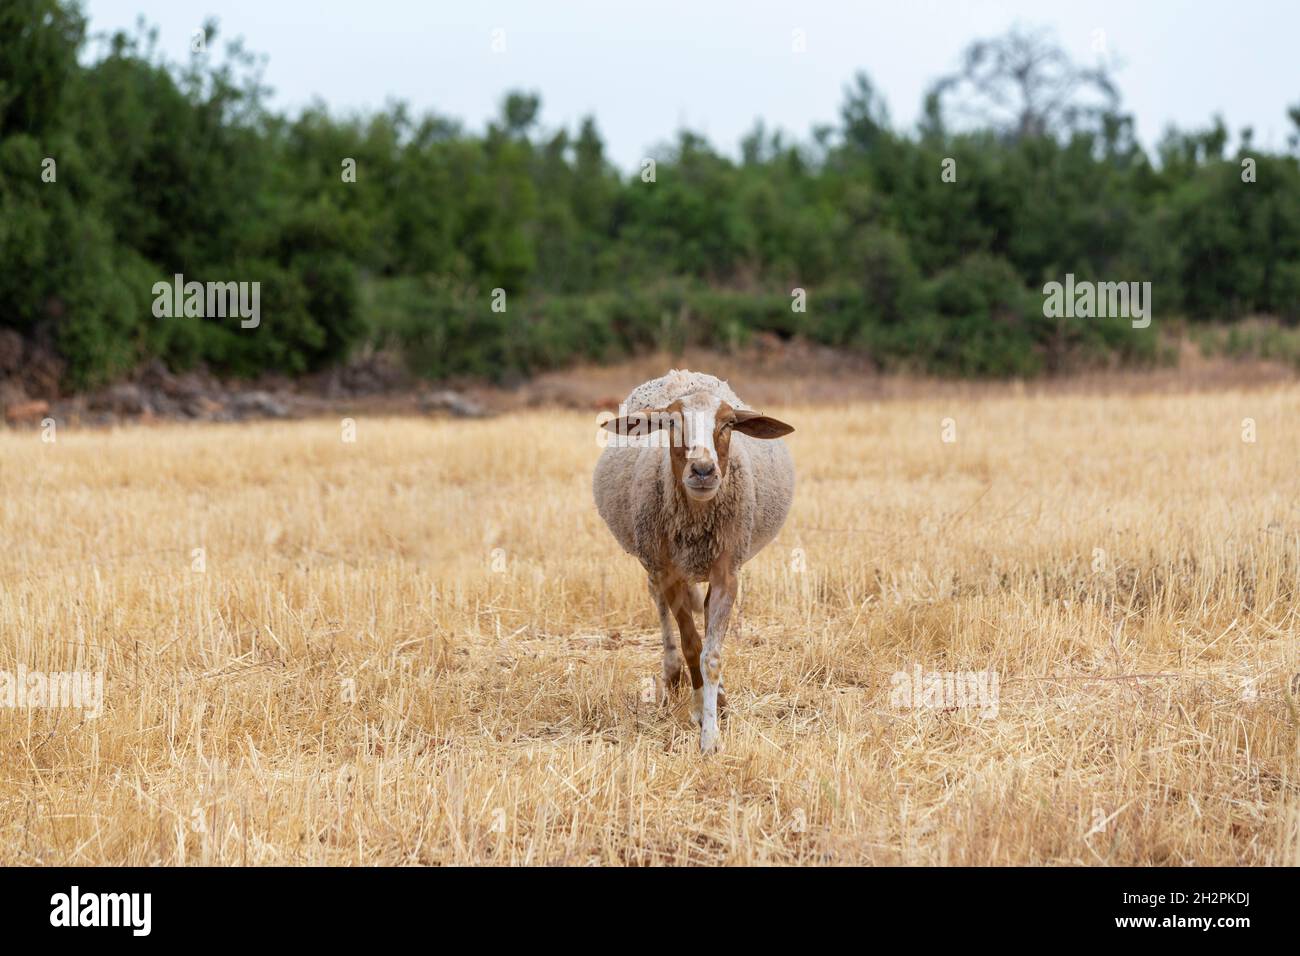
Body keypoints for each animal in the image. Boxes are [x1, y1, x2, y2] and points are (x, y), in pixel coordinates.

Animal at [593, 369, 795, 752]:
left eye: (729, 424)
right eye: (671, 422)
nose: (702, 470)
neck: (697, 518)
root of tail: (681, 374)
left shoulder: (727, 573)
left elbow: (711, 656)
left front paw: (712, 735)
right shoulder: (668, 571)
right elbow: (691, 645)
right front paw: (701, 711)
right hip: (654, 562)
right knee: (662, 608)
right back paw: (672, 675)